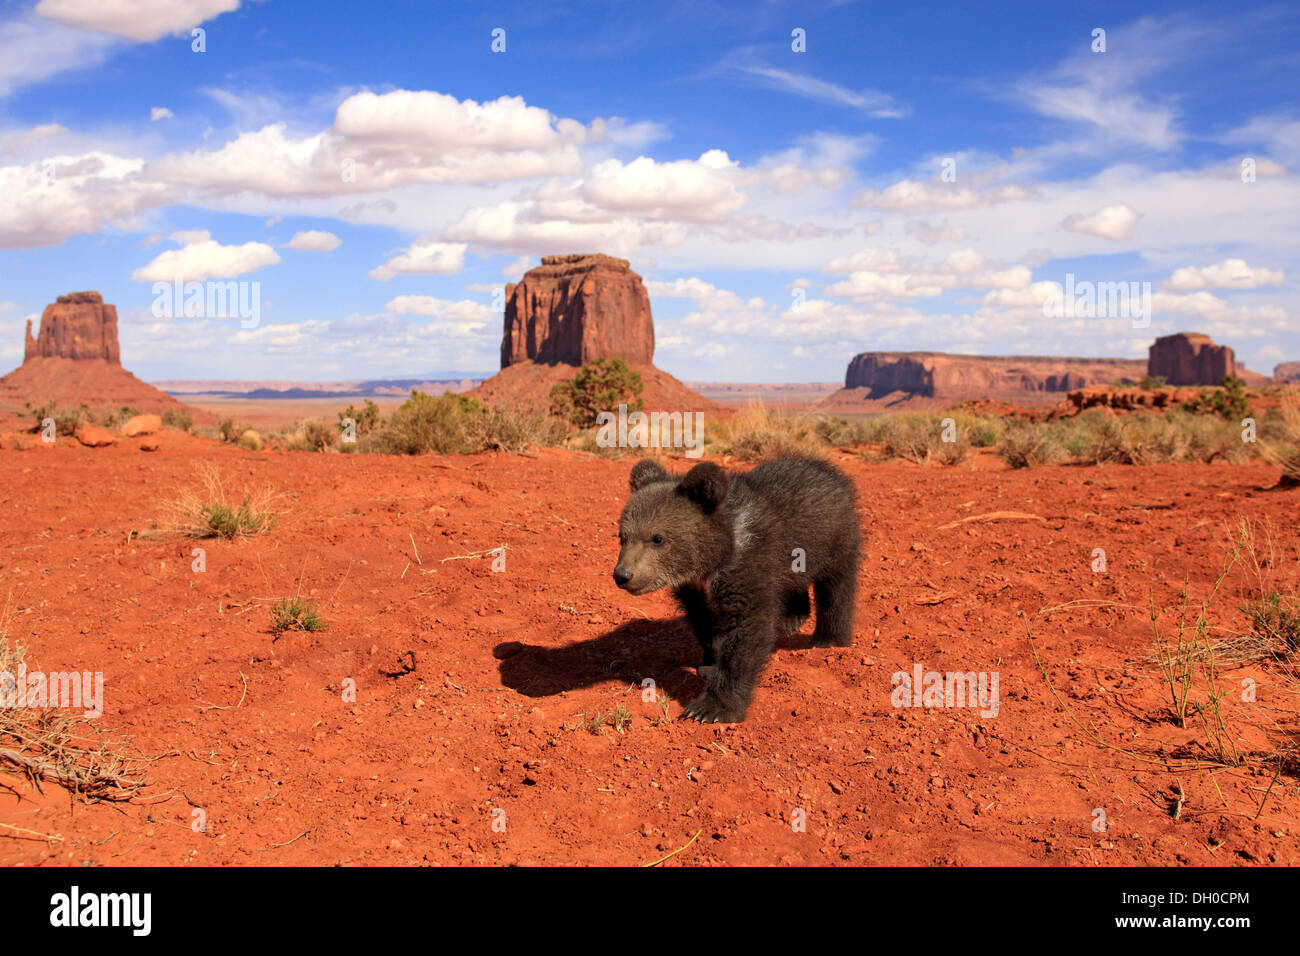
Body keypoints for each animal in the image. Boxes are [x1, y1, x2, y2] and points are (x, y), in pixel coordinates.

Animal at [613, 454, 861, 723]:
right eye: (622, 536)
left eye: (657, 538)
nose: (622, 575)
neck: (714, 559)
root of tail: (827, 471)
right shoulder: (695, 591)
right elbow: (707, 625)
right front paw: (709, 664)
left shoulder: (749, 567)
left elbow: (746, 633)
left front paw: (711, 707)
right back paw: (792, 619)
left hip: (835, 543)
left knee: (837, 589)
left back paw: (829, 639)